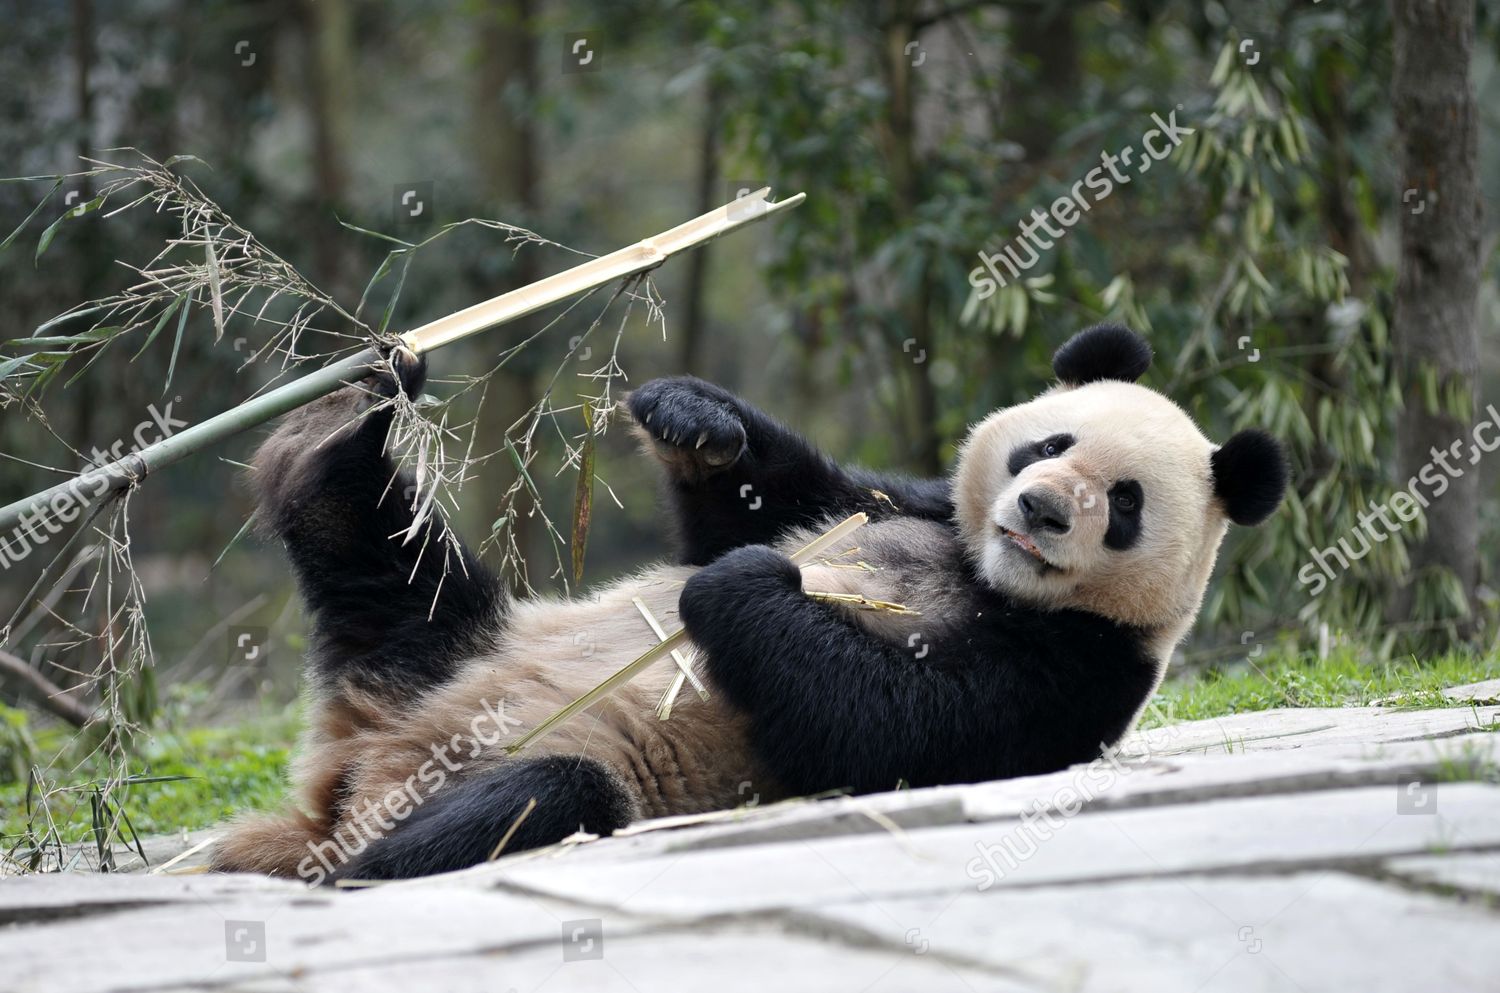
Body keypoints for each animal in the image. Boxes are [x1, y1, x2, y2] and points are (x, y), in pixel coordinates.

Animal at [210, 323, 1288, 883]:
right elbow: (766, 498)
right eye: (1048, 445)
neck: (984, 572)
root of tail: (354, 771)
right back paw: (336, 431)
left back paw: (358, 863)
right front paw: (694, 420)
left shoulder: (1076, 671)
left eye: (1125, 505)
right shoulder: (899, 505)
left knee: (541, 794)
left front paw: (741, 589)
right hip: (448, 646)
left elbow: (890, 723)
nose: (1039, 509)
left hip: (522, 762)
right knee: (391, 565)